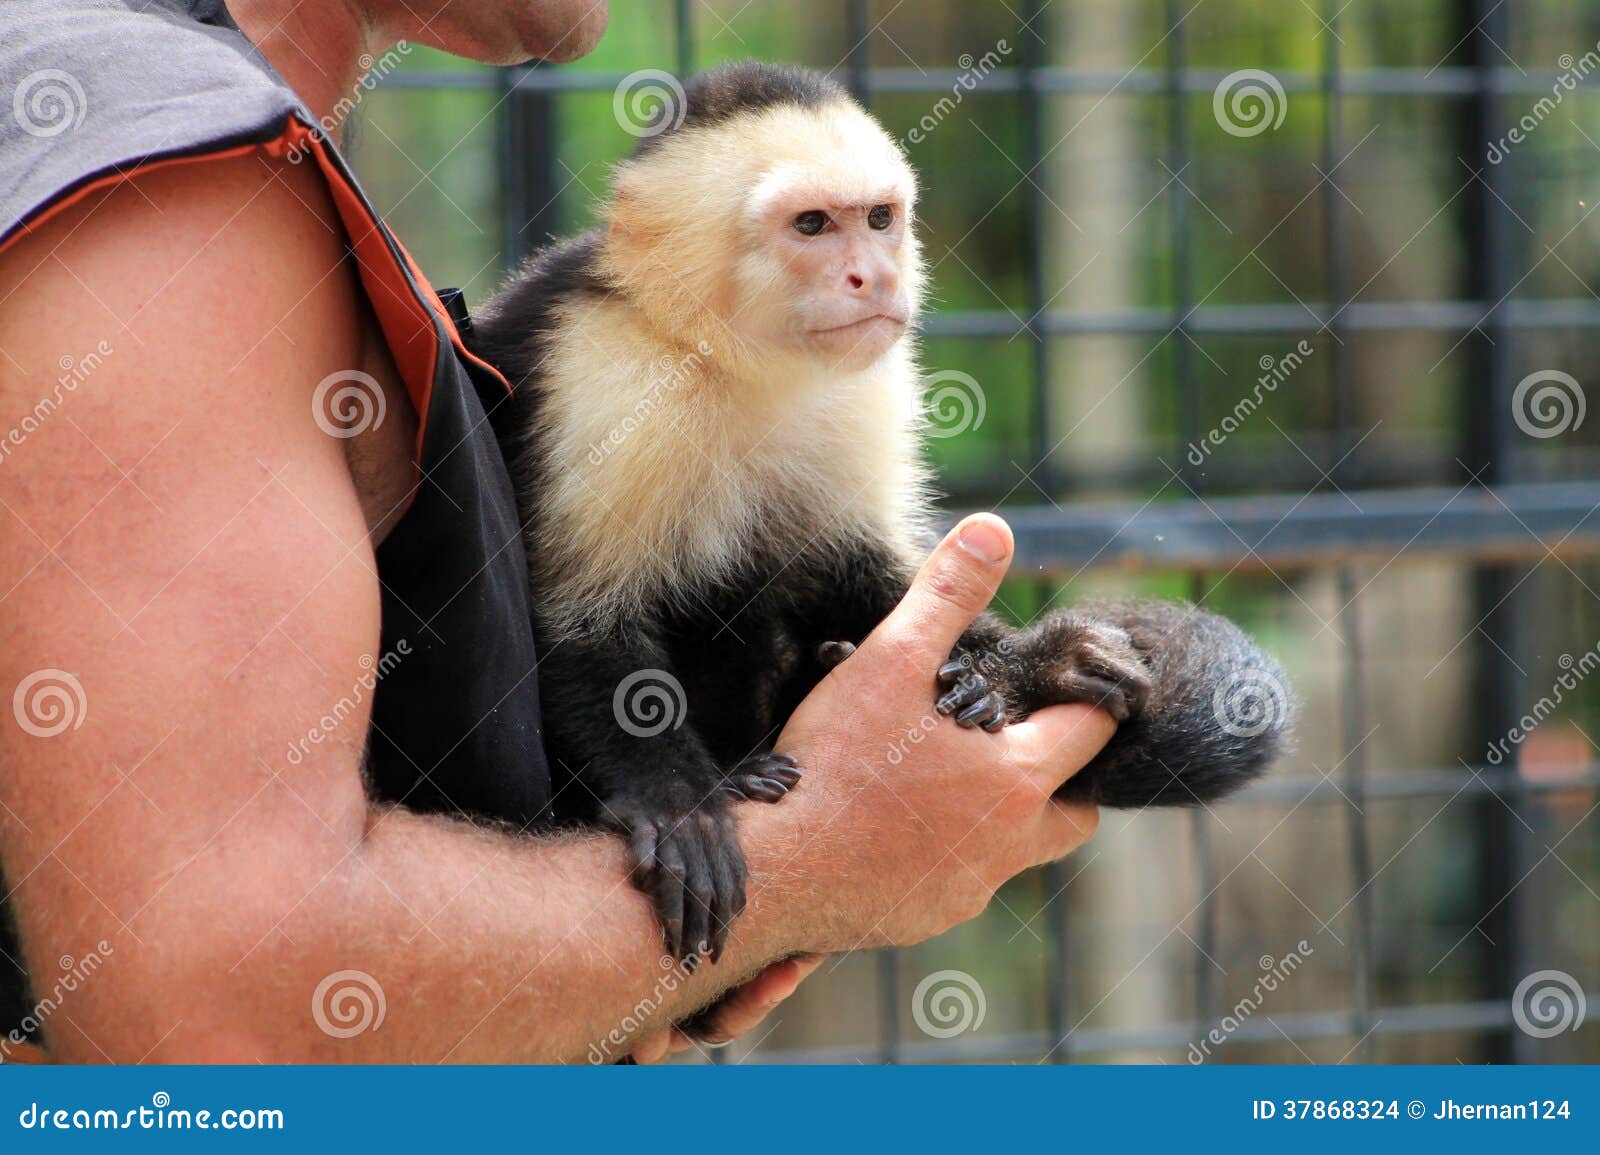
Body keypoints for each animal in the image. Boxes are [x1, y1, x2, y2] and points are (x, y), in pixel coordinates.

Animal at [474, 61, 1291, 966]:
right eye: (810, 225)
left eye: (877, 218)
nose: (877, 275)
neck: (727, 360)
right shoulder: (603, 374)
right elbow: (575, 620)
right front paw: (677, 801)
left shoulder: (863, 384)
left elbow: (853, 566)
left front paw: (1025, 664)